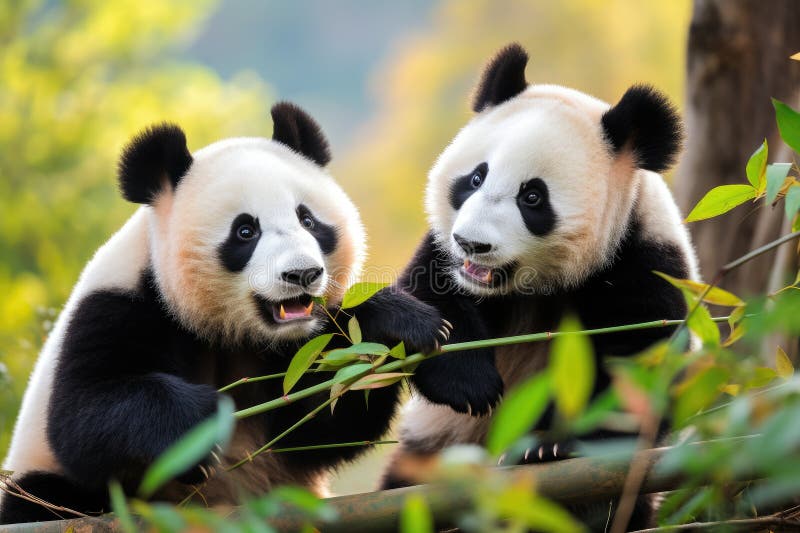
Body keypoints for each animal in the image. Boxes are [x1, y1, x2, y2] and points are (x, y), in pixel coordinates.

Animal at [0, 102, 449, 524]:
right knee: (47, 497)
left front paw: (399, 329)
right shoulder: (123, 305)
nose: (302, 274)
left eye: (308, 220)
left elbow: (323, 421)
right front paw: (203, 421)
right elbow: (84, 416)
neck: (233, 333)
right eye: (245, 231)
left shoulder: (301, 351)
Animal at [381, 44, 699, 526]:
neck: (545, 281)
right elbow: (430, 298)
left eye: (532, 197)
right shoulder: (441, 254)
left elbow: (636, 370)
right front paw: (470, 383)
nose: (471, 243)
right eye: (475, 178)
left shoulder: (643, 260)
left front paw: (548, 447)